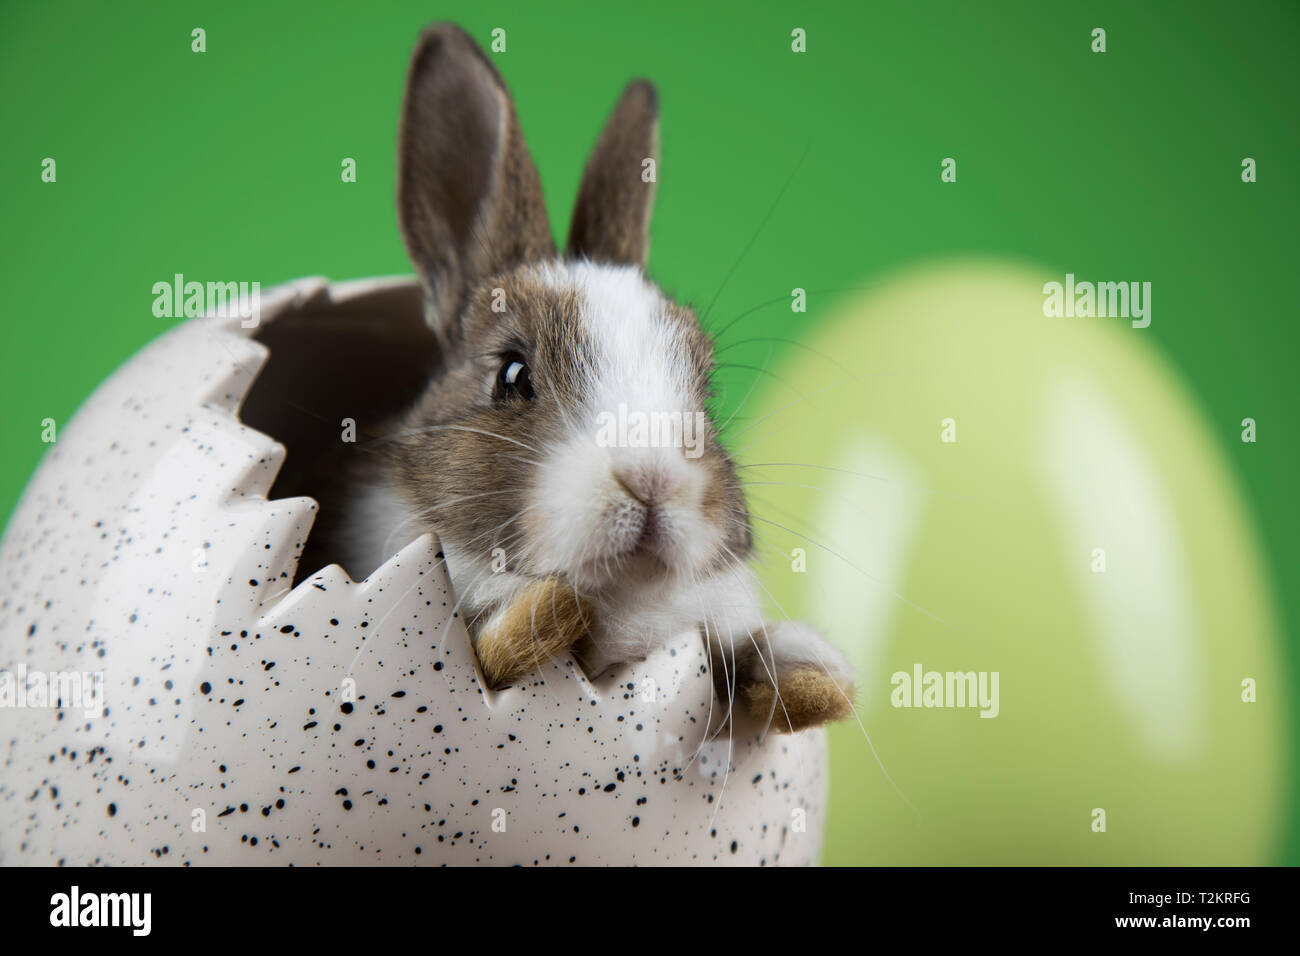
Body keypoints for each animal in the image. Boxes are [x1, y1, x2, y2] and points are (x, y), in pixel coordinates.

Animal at [323, 23, 854, 733]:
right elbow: (498, 650)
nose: (653, 480)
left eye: (705, 388)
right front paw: (547, 614)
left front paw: (812, 670)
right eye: (512, 374)